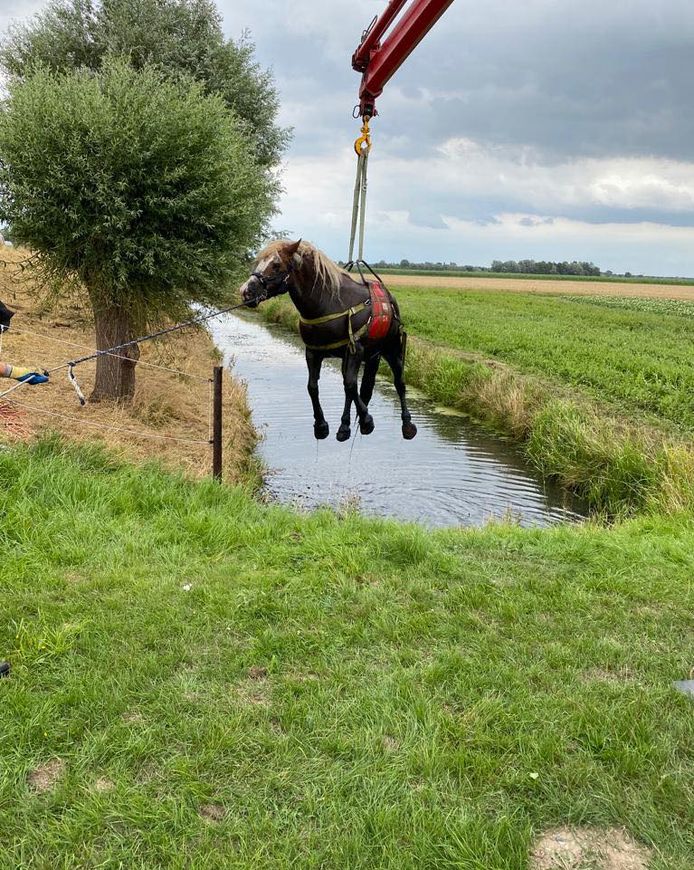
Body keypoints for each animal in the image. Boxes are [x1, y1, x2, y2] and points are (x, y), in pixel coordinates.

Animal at [240, 239, 417, 442]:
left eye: (276, 265)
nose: (245, 291)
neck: (329, 303)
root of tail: (389, 297)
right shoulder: (313, 352)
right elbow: (314, 387)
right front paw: (321, 425)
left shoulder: (355, 350)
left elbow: (351, 385)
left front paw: (366, 420)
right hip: (368, 355)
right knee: (350, 389)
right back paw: (344, 427)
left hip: (392, 349)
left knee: (398, 383)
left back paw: (407, 424)